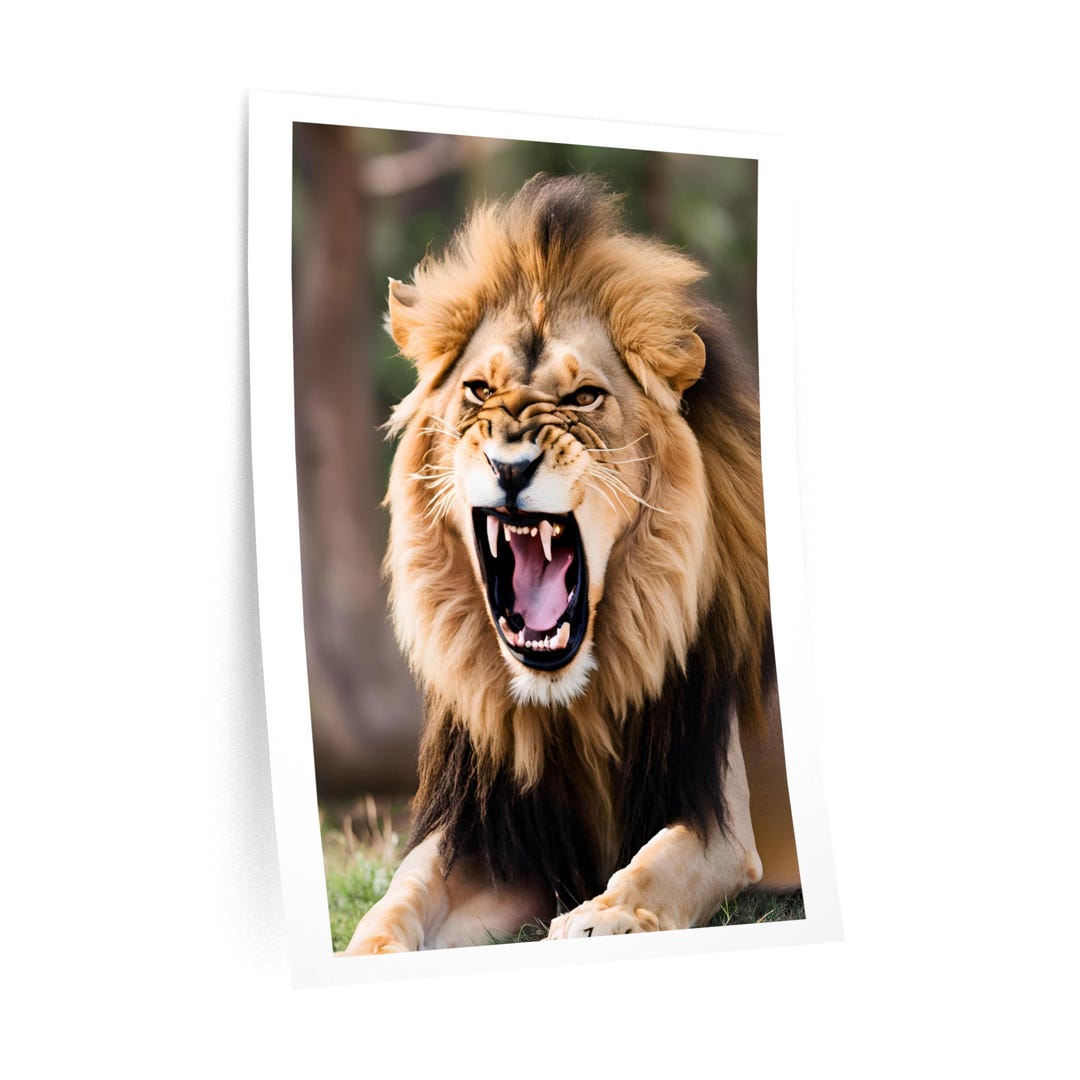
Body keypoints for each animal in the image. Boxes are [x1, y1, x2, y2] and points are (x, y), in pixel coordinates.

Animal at [343, 173, 799, 954]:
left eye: (585, 396)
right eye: (478, 391)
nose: (510, 464)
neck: (568, 705)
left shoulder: (717, 816)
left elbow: (656, 863)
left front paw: (602, 917)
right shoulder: (492, 842)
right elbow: (403, 890)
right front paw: (368, 947)